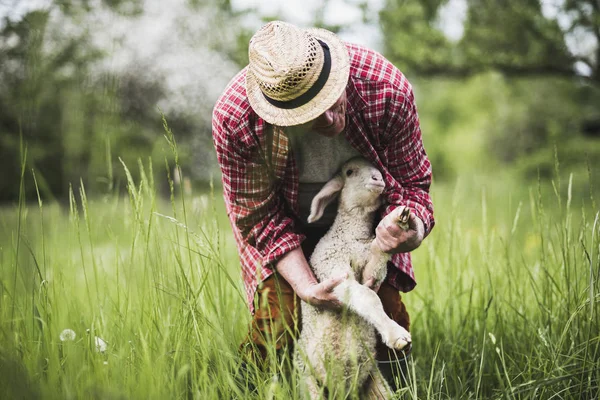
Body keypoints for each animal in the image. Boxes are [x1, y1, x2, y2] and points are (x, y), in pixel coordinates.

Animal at [294, 157, 412, 400]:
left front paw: (399, 220)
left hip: (376, 384)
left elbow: (379, 252)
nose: (378, 179)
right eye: (349, 172)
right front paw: (397, 335)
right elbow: (367, 297)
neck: (352, 237)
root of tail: (343, 393)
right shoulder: (331, 267)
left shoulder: (372, 269)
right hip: (309, 383)